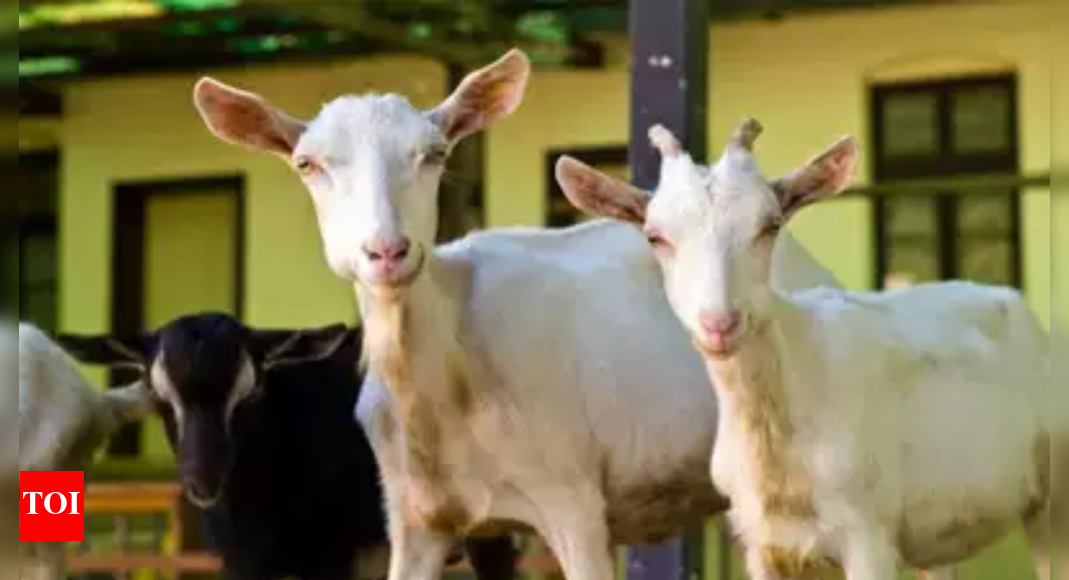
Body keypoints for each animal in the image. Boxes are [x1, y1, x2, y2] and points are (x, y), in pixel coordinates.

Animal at [557, 118, 1058, 580]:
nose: (719, 324)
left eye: (770, 225)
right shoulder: (762, 543)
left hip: (1057, 491)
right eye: (655, 237)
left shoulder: (868, 535)